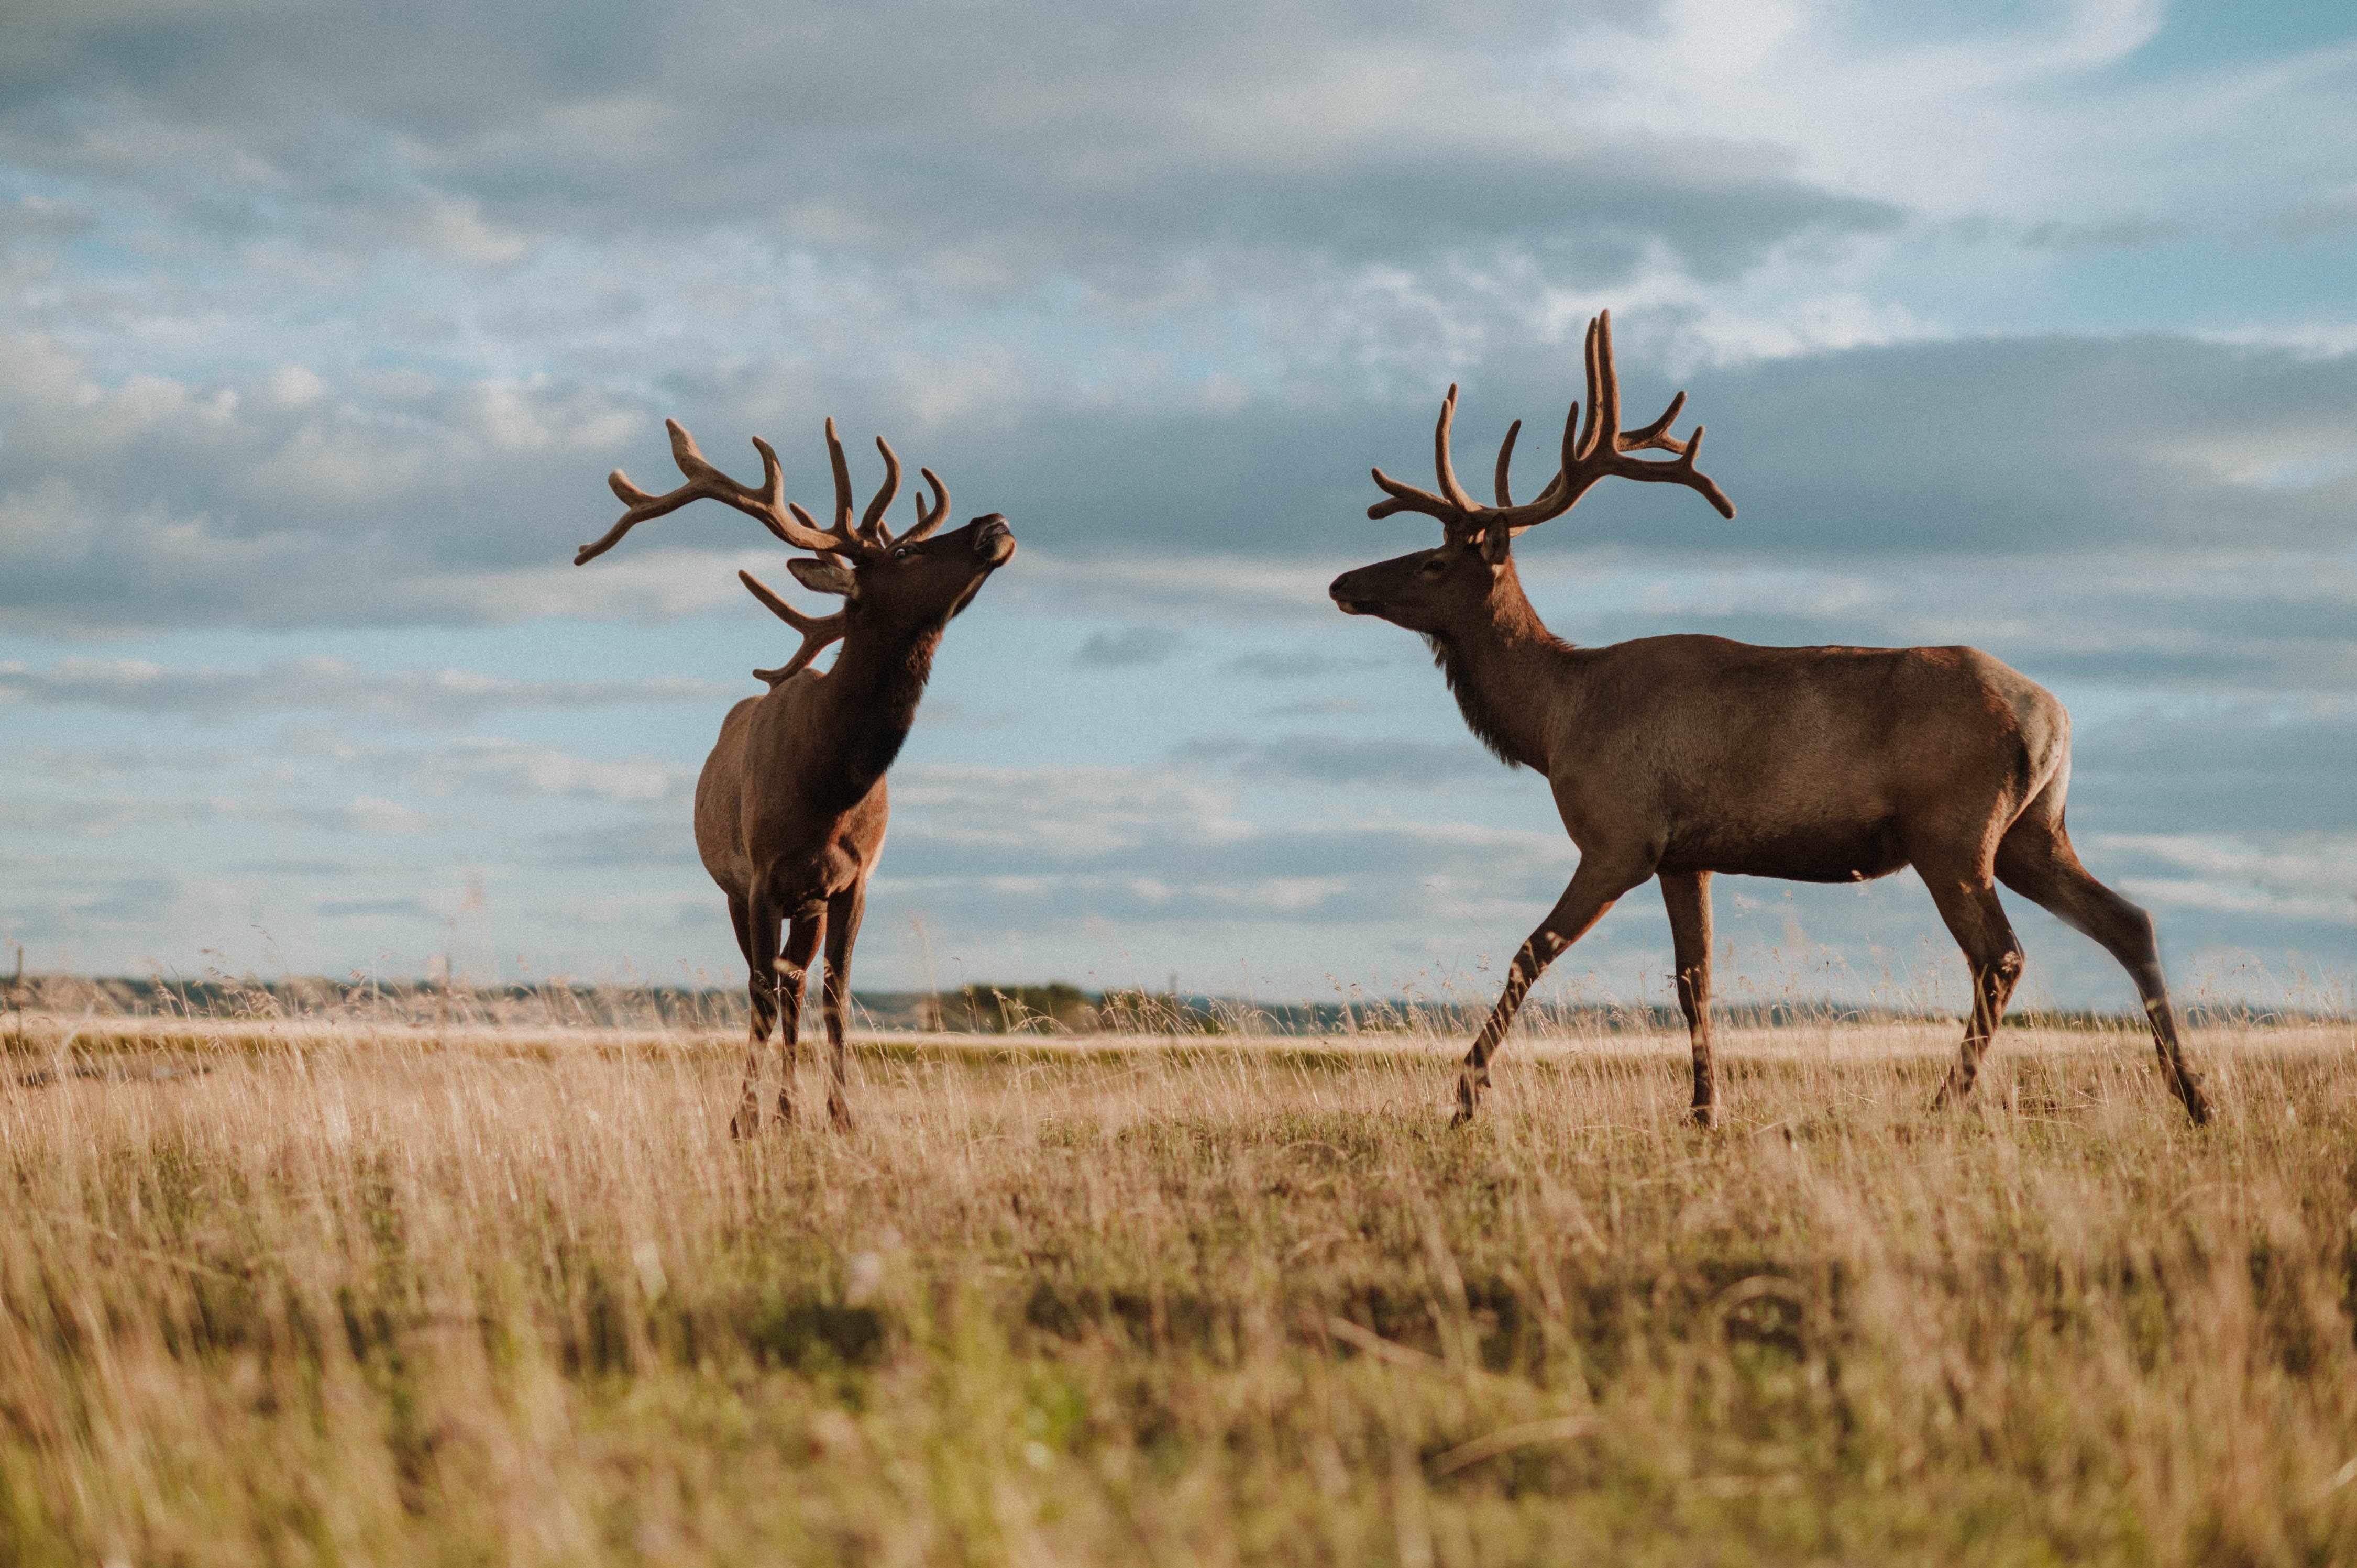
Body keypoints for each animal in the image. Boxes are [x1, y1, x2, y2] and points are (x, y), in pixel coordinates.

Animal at [576, 417, 1015, 1134]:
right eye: (903, 554)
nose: (996, 522)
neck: (829, 788)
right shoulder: (760, 877)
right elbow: (757, 992)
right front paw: (744, 1121)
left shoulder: (854, 880)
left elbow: (835, 990)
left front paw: (840, 1116)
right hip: (737, 890)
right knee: (773, 983)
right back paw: (774, 1112)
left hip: (806, 904)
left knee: (798, 985)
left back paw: (790, 1110)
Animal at [1329, 312, 2210, 1130]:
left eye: (1435, 562)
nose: (1342, 583)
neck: (1555, 721)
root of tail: (2056, 716)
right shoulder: (1685, 852)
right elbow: (1695, 981)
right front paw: (1703, 1108)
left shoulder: (1619, 834)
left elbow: (1528, 953)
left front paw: (1465, 1096)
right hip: (2033, 827)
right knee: (2128, 920)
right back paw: (2195, 1097)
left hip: (1953, 830)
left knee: (2001, 957)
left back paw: (1943, 1104)